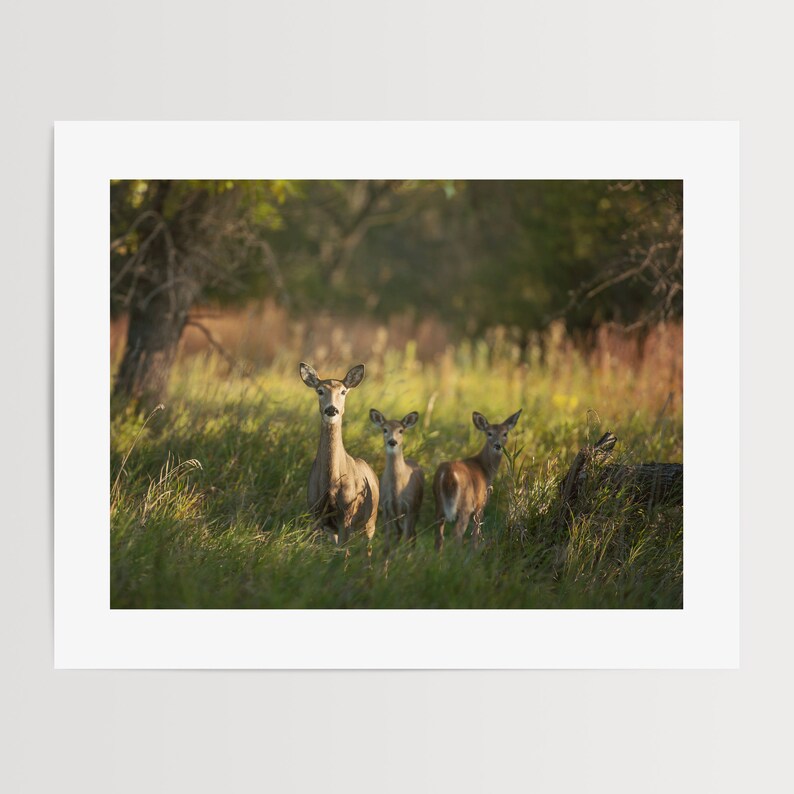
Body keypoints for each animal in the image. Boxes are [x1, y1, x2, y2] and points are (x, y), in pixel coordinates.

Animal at [299, 362, 379, 547]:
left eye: (343, 391)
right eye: (320, 390)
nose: (331, 410)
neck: (331, 482)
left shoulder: (346, 515)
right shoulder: (315, 513)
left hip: (370, 522)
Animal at [369, 409, 424, 554]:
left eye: (401, 430)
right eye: (384, 429)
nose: (392, 442)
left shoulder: (410, 507)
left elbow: (406, 538)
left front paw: (405, 558)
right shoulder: (386, 508)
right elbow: (387, 543)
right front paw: (386, 558)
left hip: (416, 509)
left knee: (412, 534)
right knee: (400, 533)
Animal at [433, 410, 522, 551]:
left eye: (505, 433)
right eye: (489, 433)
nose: (497, 445)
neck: (485, 468)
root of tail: (448, 473)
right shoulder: (481, 503)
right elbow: (476, 532)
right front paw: (474, 550)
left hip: (439, 502)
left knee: (438, 533)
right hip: (466, 504)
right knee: (456, 532)